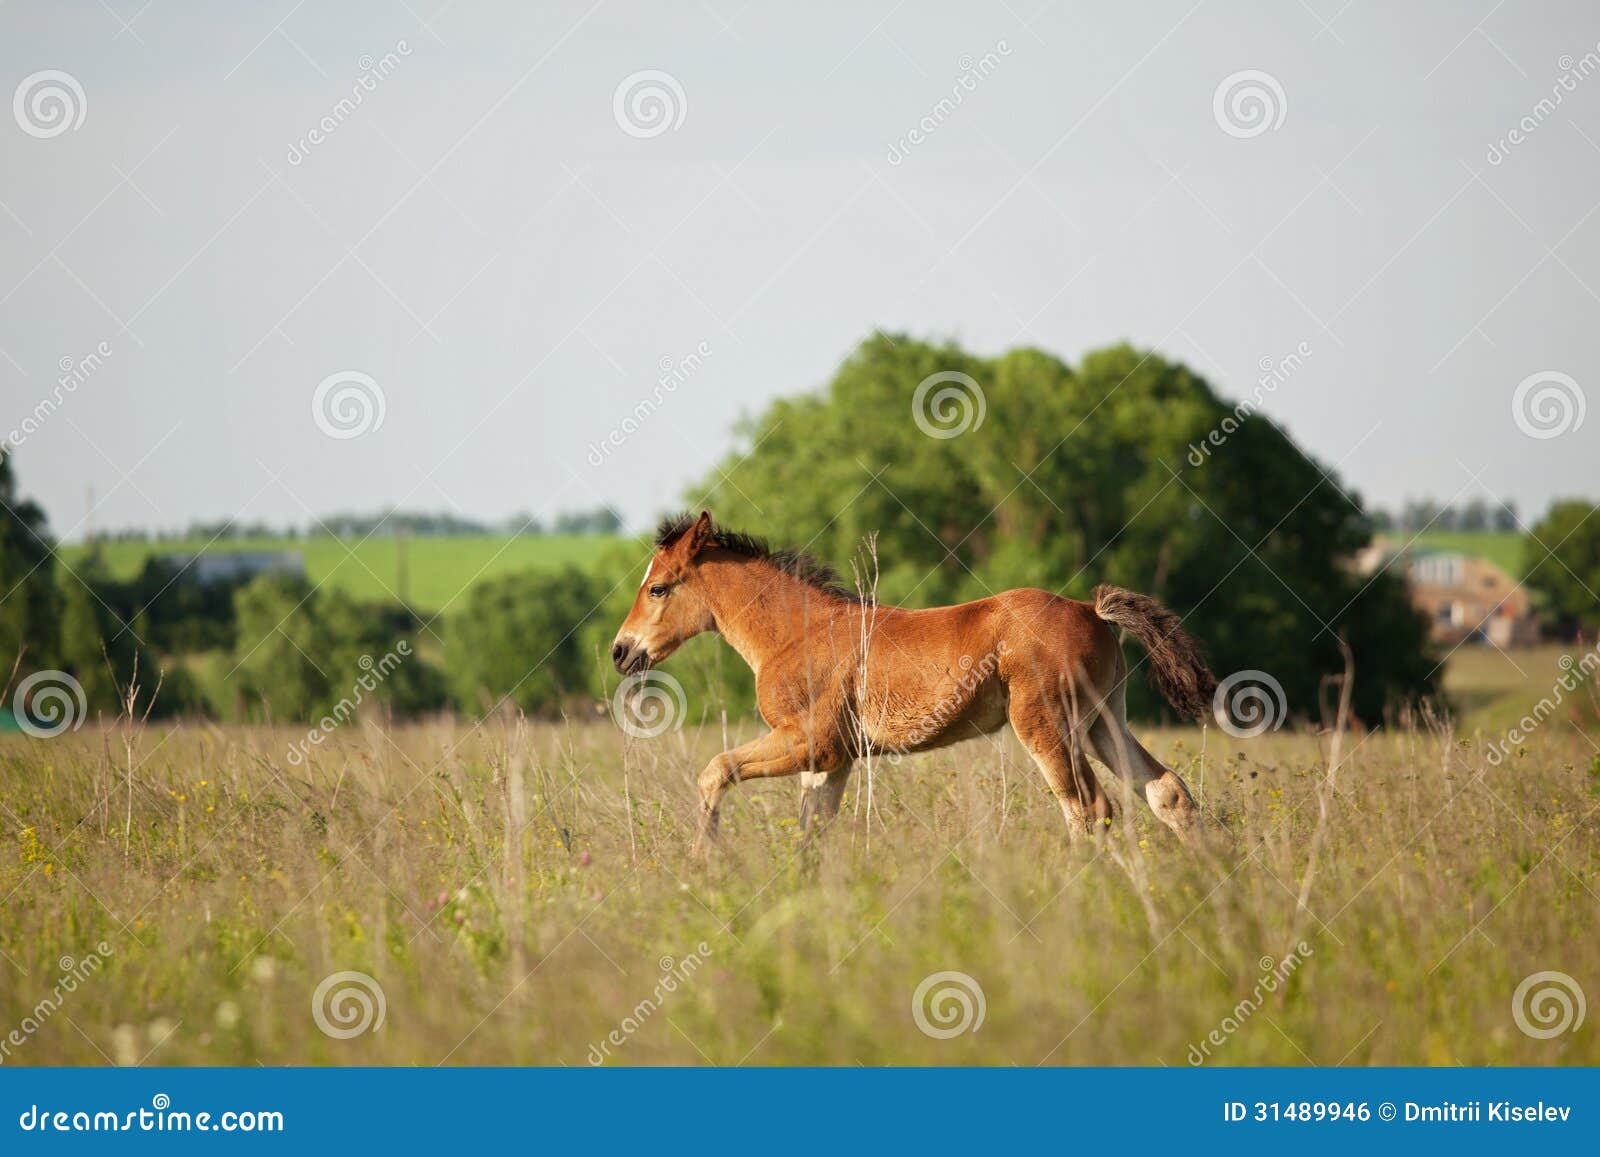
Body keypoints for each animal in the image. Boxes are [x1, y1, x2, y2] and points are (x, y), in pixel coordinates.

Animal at [611, 511, 1217, 855]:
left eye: (659, 587)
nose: (621, 651)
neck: (794, 632)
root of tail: (1093, 610)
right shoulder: (834, 759)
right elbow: (810, 830)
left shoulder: (813, 742)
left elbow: (715, 771)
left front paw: (703, 860)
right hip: (1101, 722)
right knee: (1167, 792)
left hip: (1045, 724)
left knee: (1088, 808)